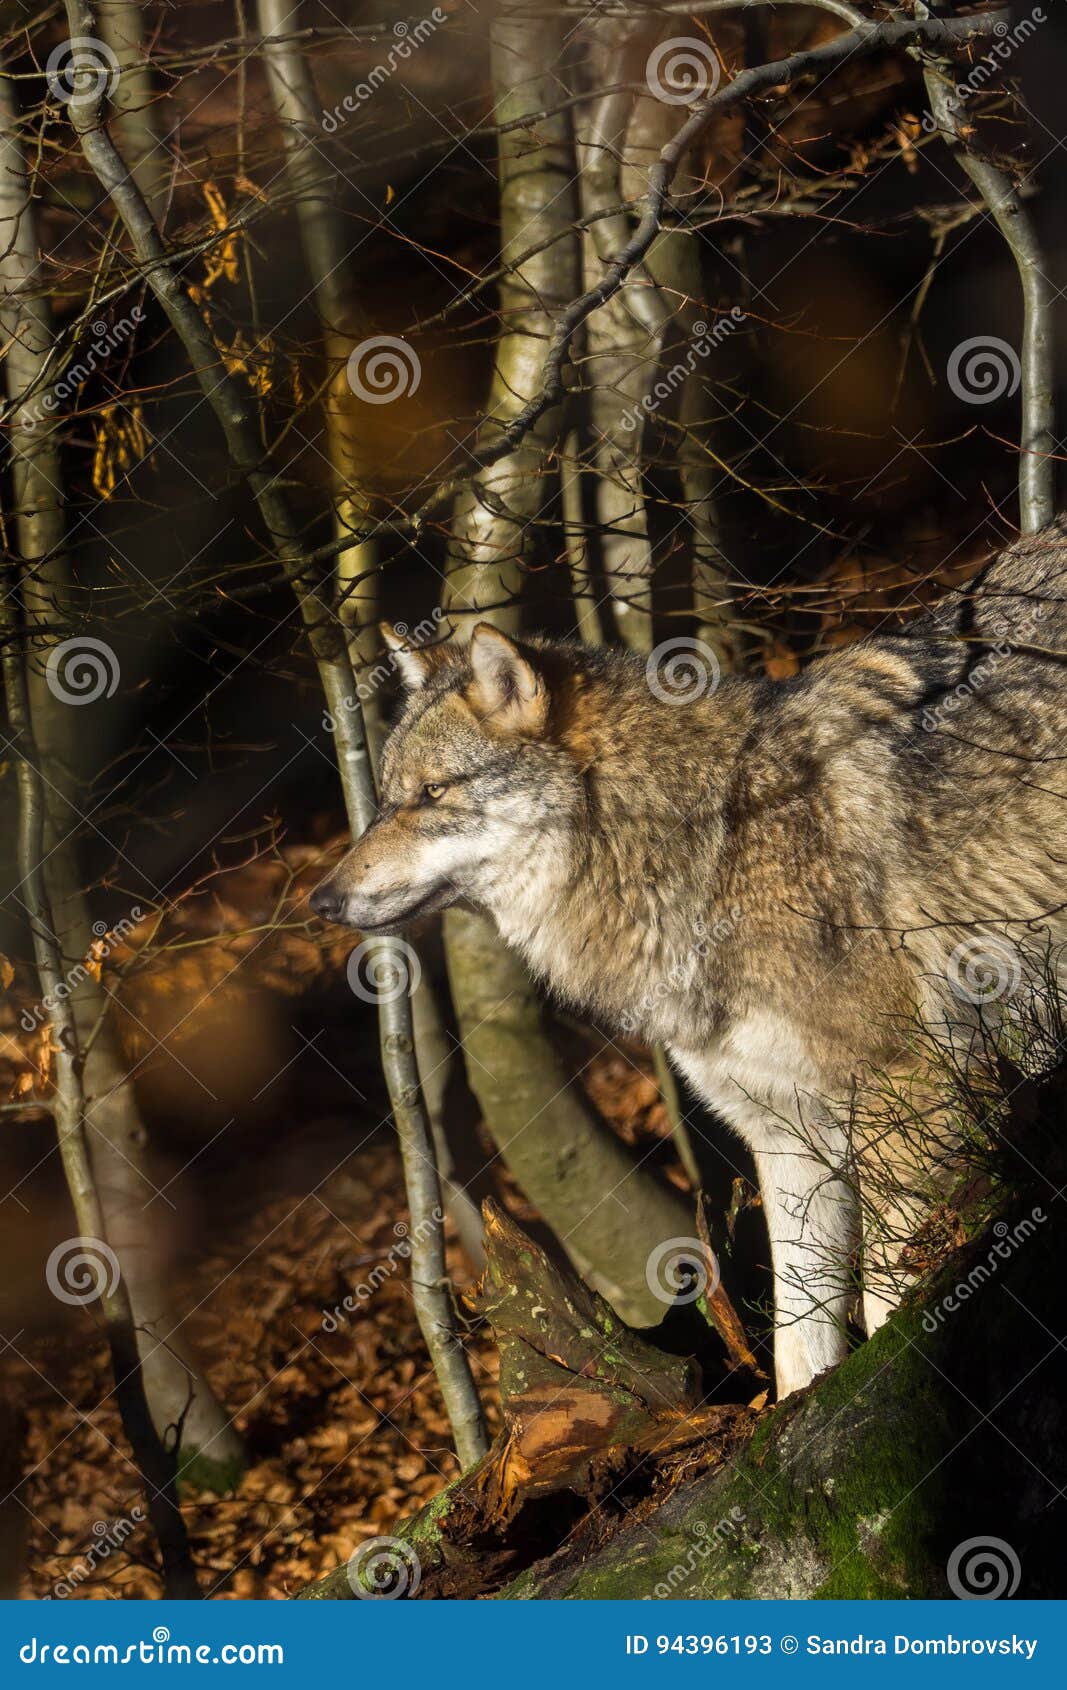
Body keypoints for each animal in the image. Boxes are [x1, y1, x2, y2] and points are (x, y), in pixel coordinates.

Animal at [311, 521, 1067, 1396]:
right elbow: (799, 1341)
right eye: (387, 798)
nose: (321, 901)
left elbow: (889, 1306)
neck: (711, 847)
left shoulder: (907, 1097)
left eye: (431, 794)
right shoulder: (782, 1132)